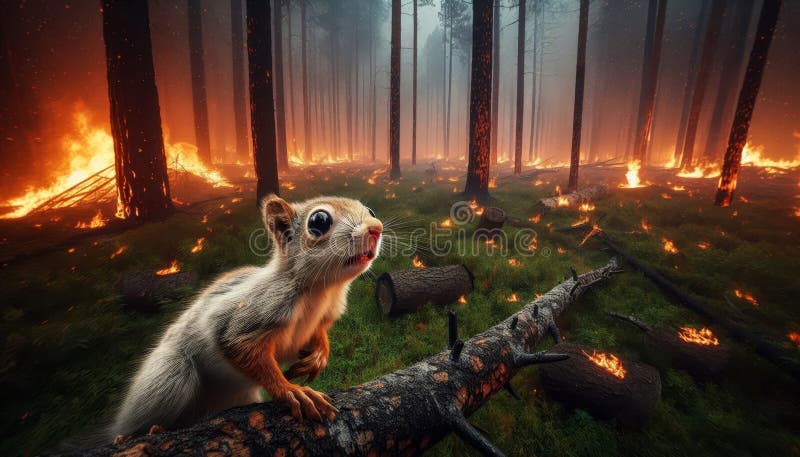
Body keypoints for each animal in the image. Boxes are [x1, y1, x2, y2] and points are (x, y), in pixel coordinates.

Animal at [110, 195, 382, 439]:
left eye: (371, 210)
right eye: (319, 220)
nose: (376, 228)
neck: (323, 291)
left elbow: (316, 336)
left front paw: (318, 356)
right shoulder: (256, 308)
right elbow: (237, 342)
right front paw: (290, 390)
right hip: (169, 376)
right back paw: (136, 433)